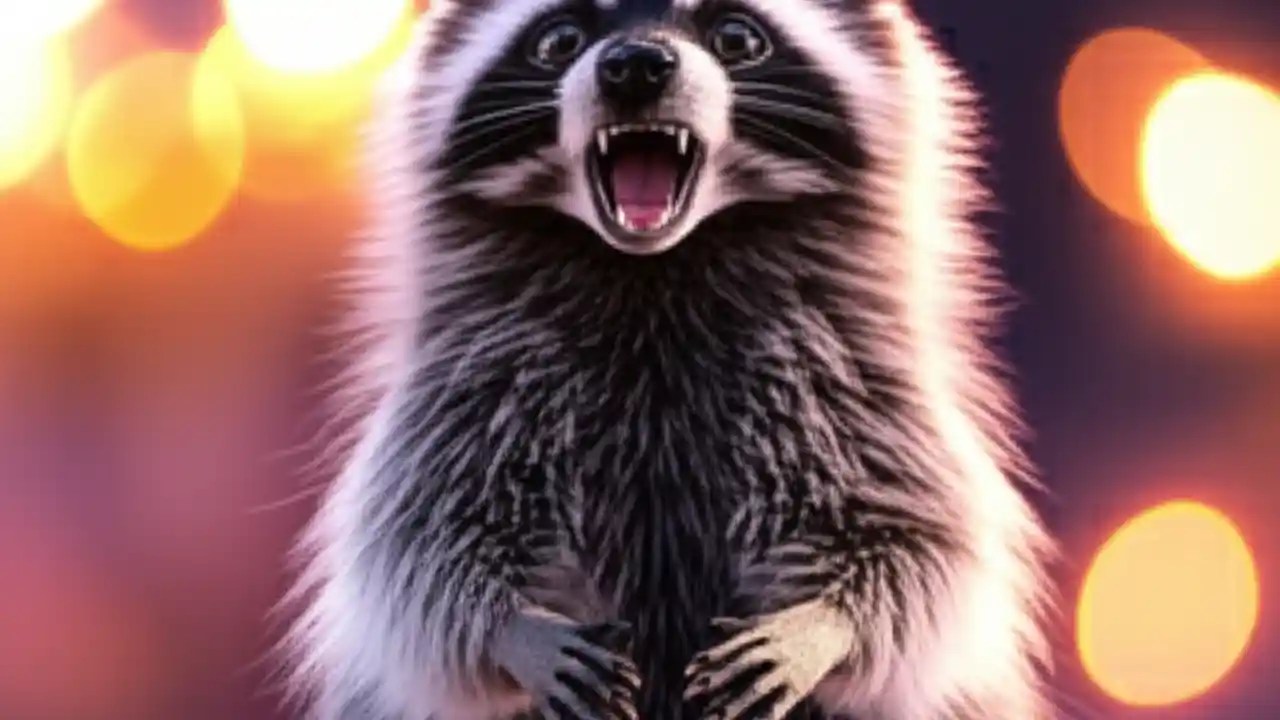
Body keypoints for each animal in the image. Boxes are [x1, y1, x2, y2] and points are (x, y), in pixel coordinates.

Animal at [283, 0, 1054, 718]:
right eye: (560, 38)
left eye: (737, 36)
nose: (635, 66)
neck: (653, 270)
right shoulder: (469, 390)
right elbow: (422, 552)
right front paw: (517, 630)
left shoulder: (855, 385)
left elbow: (920, 549)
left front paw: (820, 626)